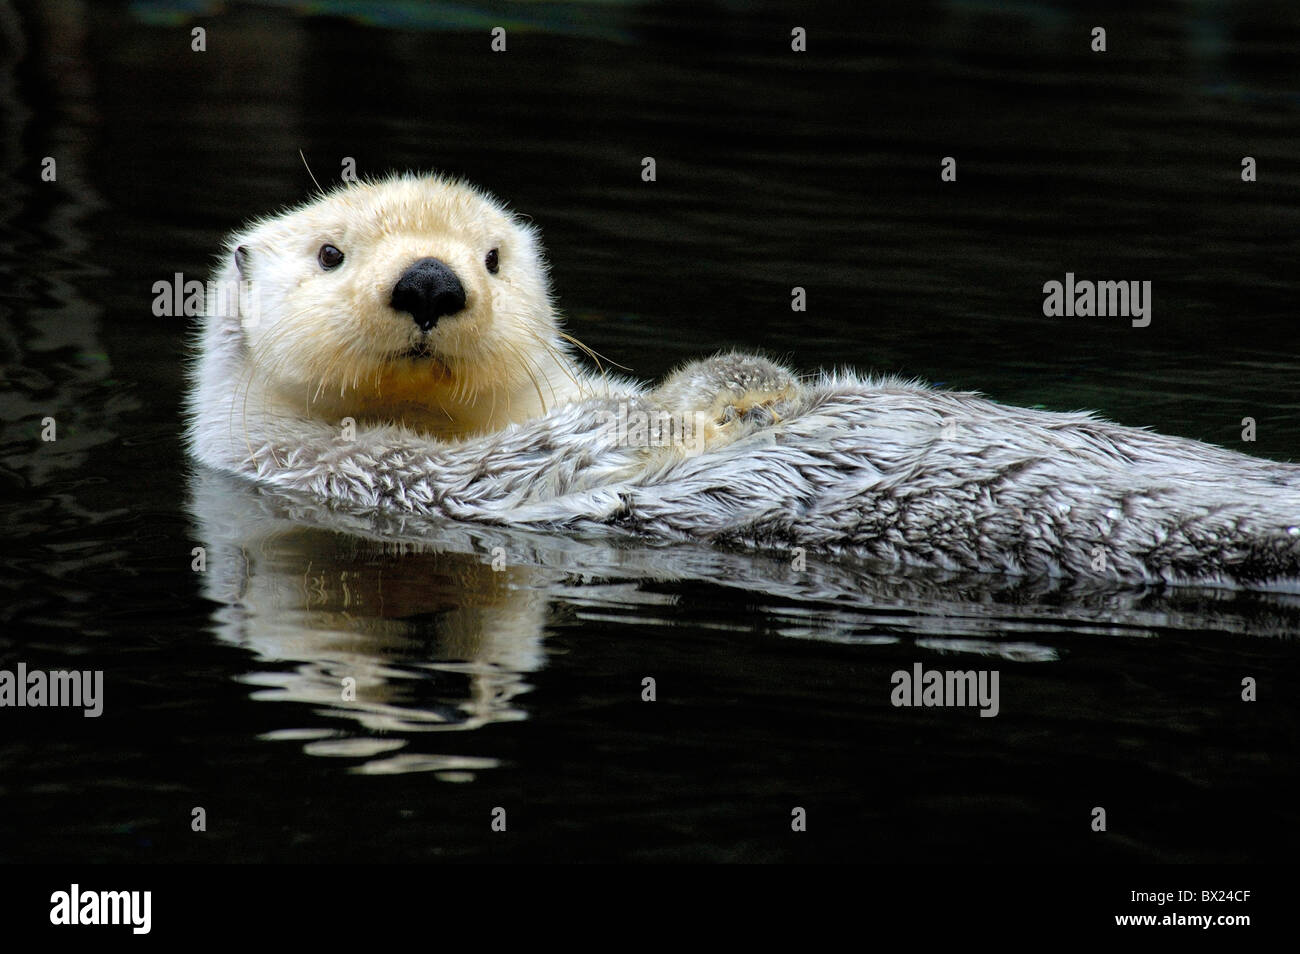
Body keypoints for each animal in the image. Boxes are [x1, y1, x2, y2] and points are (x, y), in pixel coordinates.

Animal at [187, 173, 1300, 589]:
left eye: (493, 259)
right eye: (331, 253)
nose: (430, 281)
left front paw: (764, 379)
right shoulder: (372, 474)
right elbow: (629, 434)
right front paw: (723, 398)